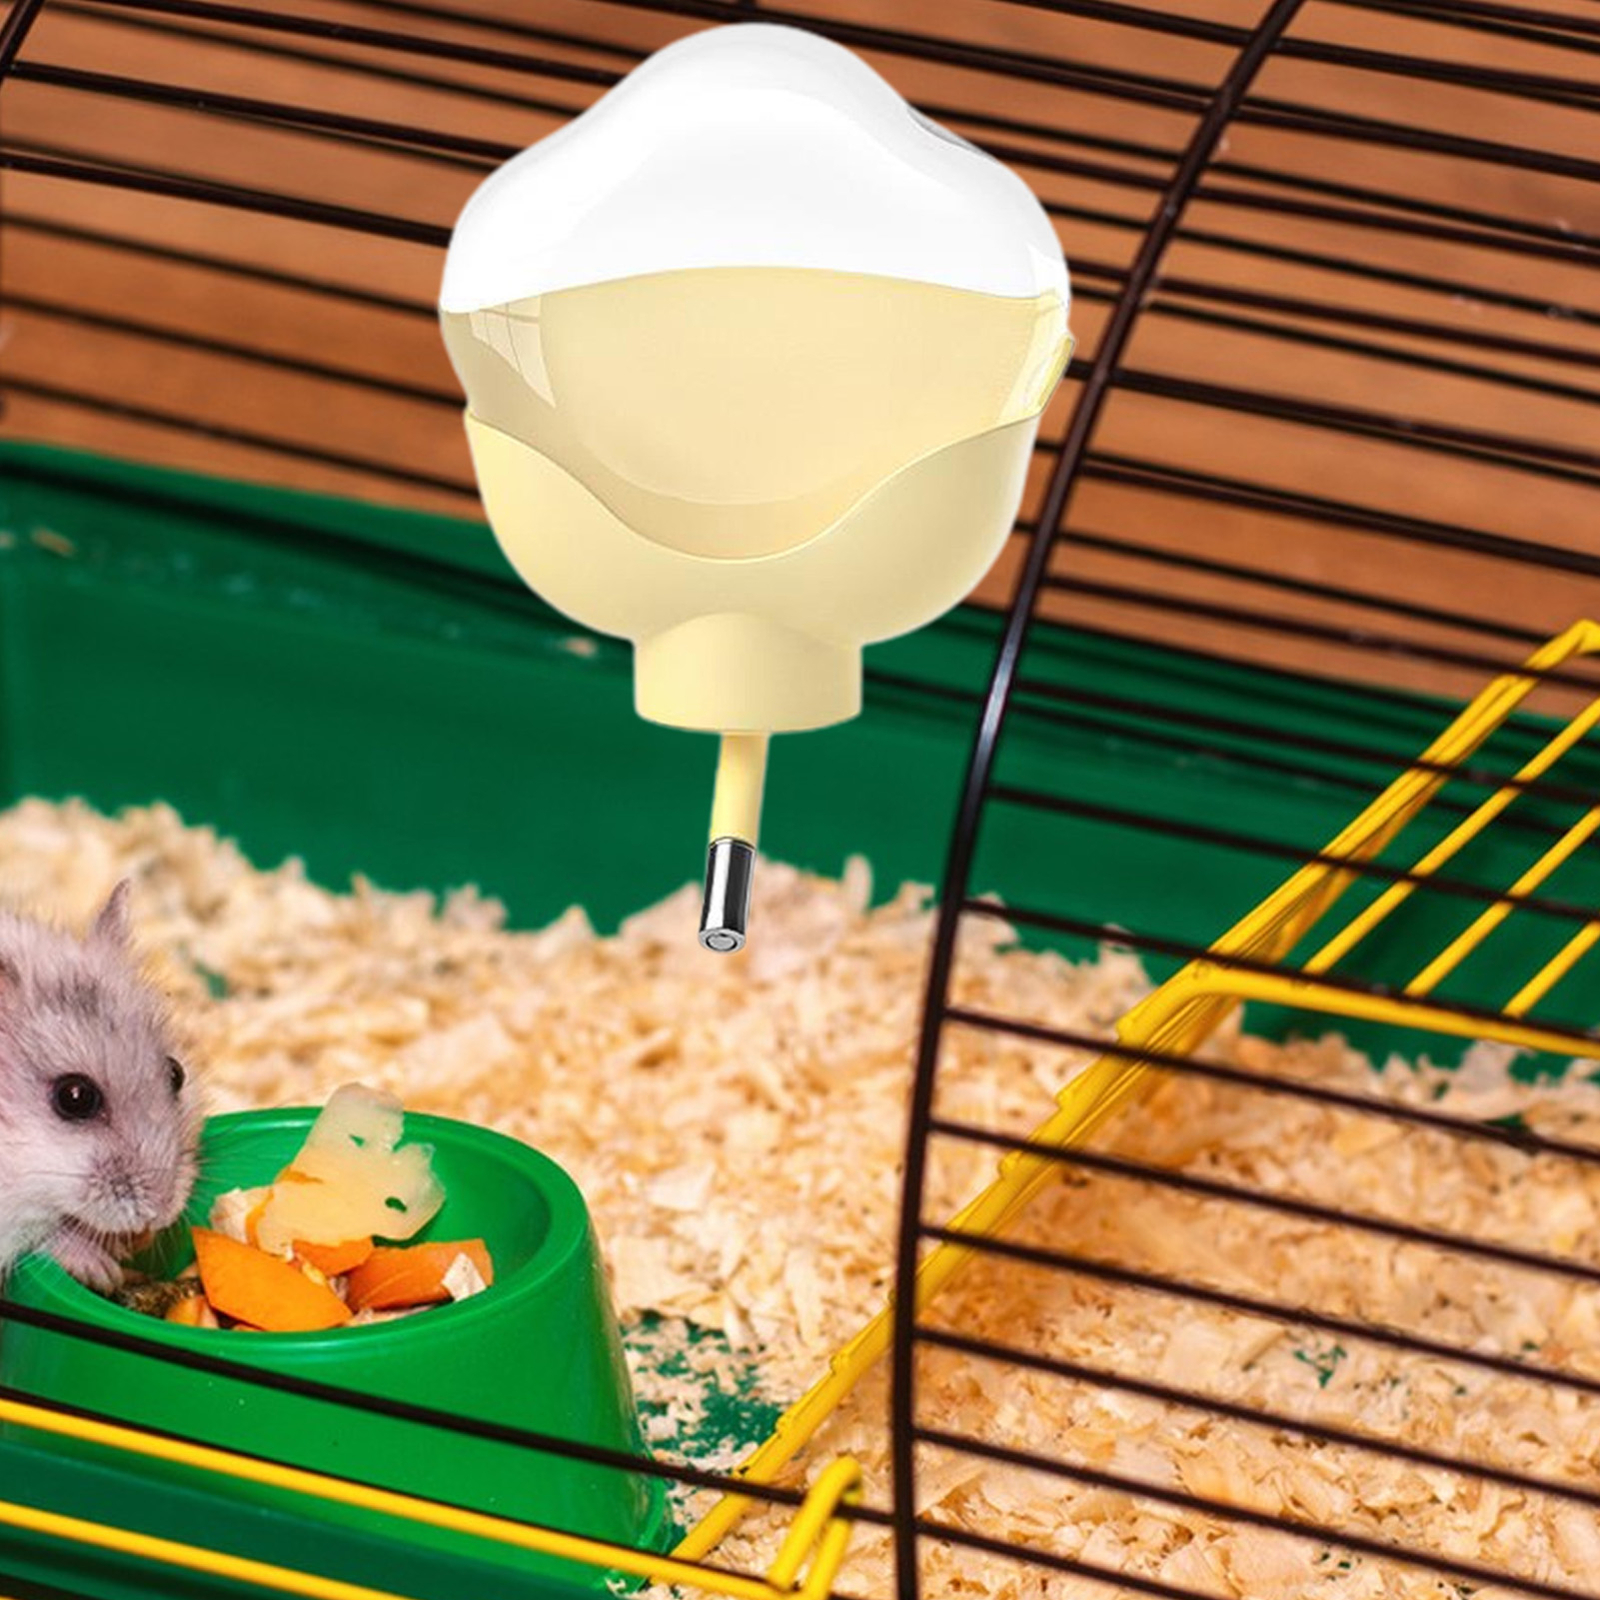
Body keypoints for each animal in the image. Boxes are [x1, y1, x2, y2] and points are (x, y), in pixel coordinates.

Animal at [0, 881, 200, 1291]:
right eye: (75, 1097)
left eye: (176, 1073)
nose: (161, 1212)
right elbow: (46, 1233)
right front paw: (104, 1271)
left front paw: (131, 1245)